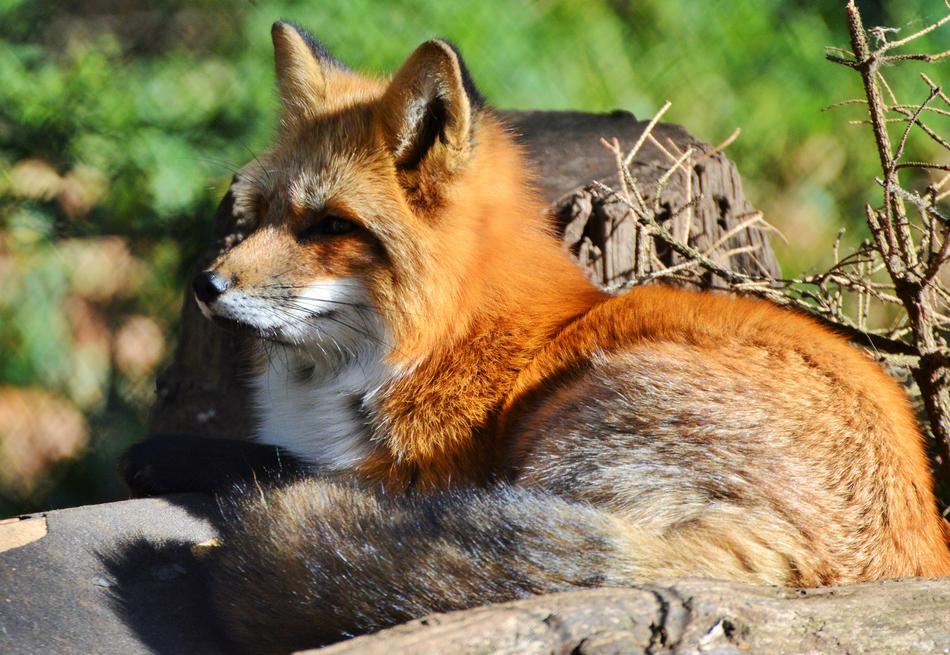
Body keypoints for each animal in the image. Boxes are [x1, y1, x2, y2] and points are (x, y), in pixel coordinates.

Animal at [120, 21, 950, 654]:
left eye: (328, 225)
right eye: (259, 215)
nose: (206, 285)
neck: (422, 342)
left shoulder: (424, 472)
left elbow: (273, 464)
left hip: (578, 408)